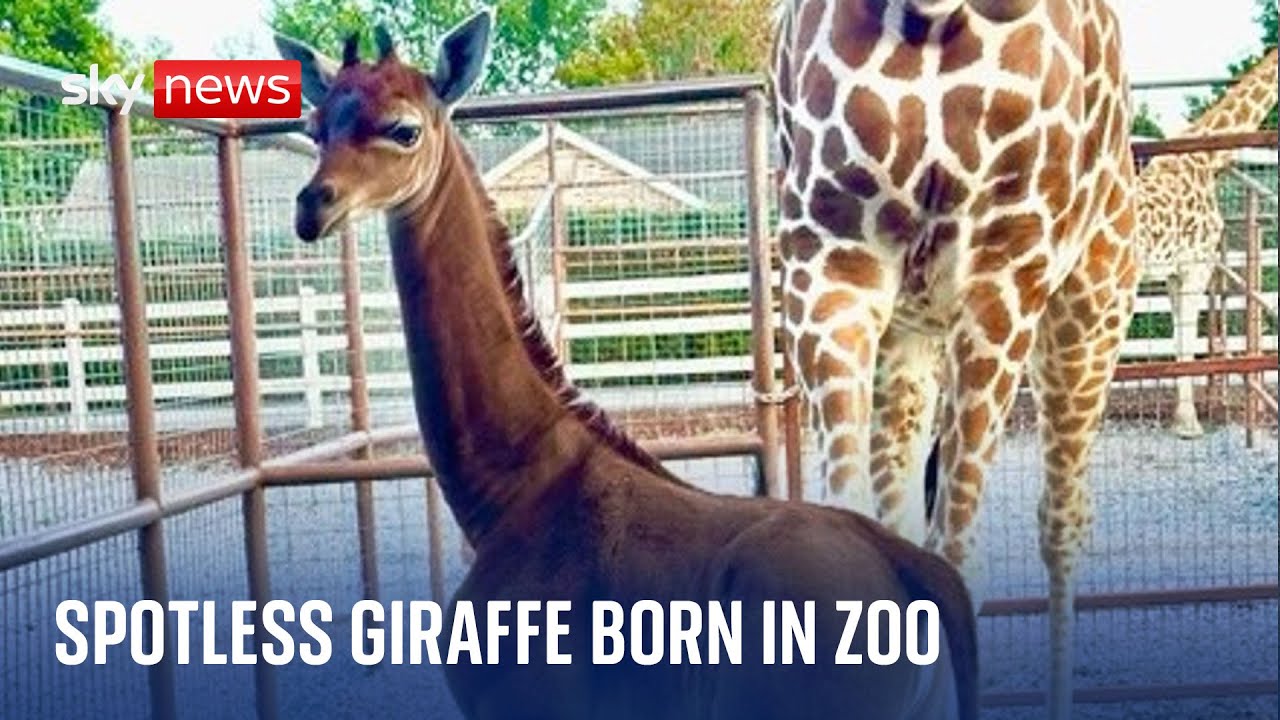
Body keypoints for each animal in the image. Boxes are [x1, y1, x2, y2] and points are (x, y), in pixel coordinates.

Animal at [769, 1, 1139, 717]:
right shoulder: (830, 261)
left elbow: (960, 565)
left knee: (1063, 520)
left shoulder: (1004, 272)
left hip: (1092, 307)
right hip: (910, 338)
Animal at [1136, 47, 1279, 438]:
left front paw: (1179, 418)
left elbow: (1178, 336)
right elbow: (1186, 338)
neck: (1205, 157)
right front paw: (1188, 423)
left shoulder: (1175, 272)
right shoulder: (1196, 265)